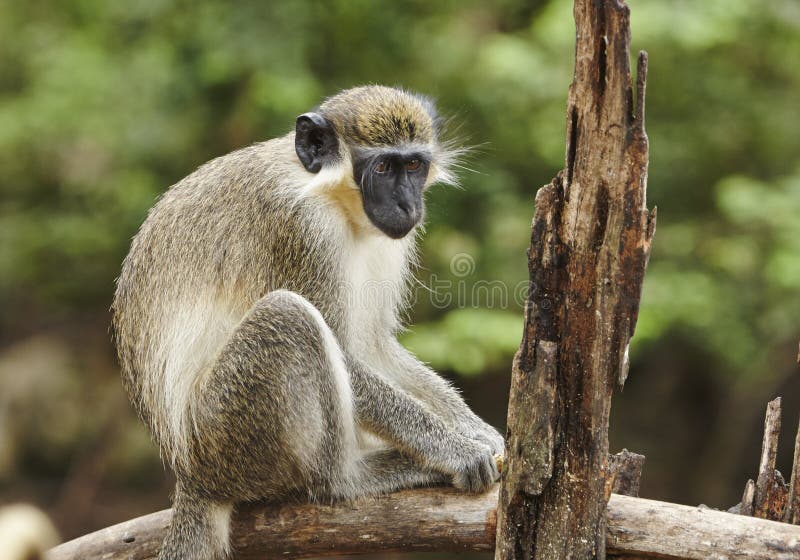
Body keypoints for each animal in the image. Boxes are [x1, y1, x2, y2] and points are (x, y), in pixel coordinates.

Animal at [112, 85, 504, 560]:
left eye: (413, 165)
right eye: (383, 167)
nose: (408, 205)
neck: (329, 193)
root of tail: (193, 475)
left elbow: (371, 344)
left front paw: (478, 430)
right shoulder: (302, 229)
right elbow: (346, 353)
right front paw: (456, 450)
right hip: (225, 434)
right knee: (289, 316)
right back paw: (350, 478)